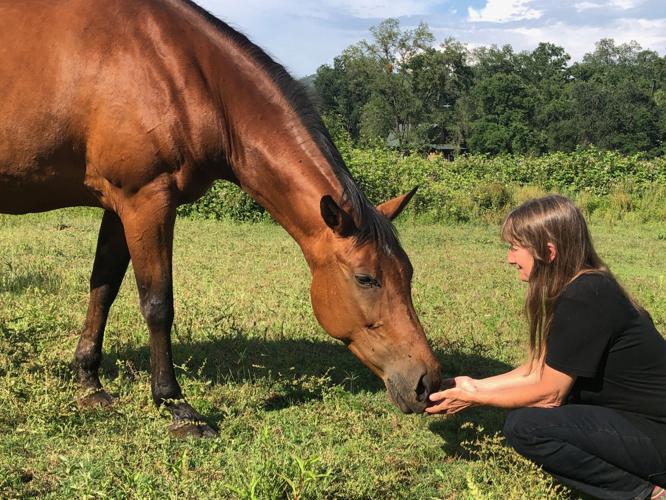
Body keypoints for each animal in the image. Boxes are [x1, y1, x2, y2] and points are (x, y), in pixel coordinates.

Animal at [0, 0, 442, 437]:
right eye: (366, 278)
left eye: (408, 273)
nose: (427, 383)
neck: (170, 65)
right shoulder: (146, 201)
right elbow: (158, 304)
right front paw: (177, 407)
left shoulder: (119, 205)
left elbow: (103, 289)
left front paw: (90, 385)